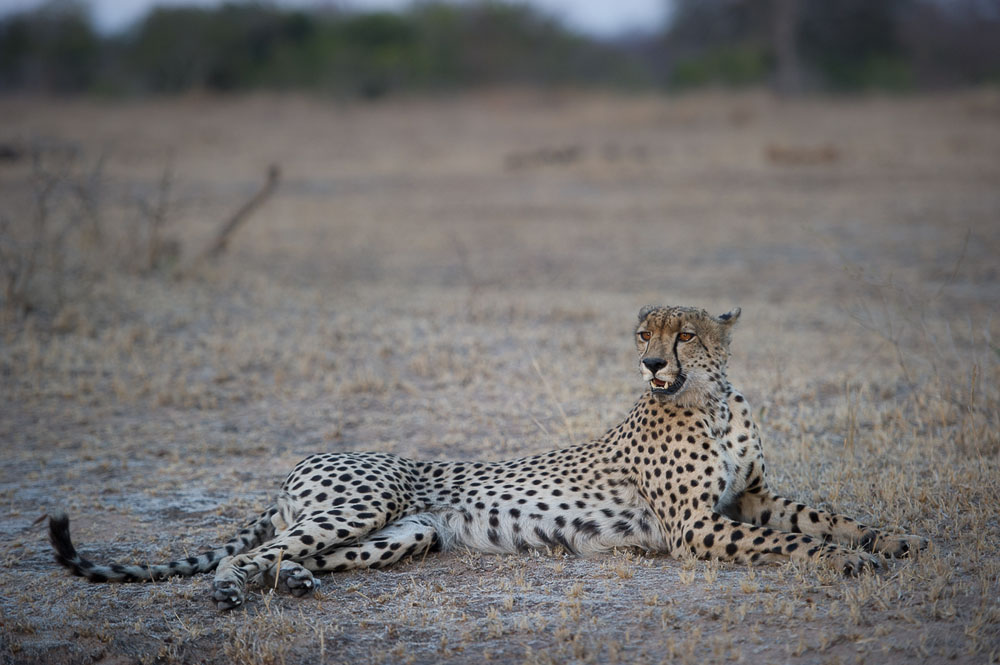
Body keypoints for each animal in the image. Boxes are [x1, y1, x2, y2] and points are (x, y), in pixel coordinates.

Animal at [49, 304, 926, 610]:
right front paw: (854, 563)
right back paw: (234, 590)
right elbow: (791, 541)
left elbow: (825, 516)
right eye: (641, 333)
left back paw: (292, 582)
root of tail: (305, 460)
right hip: (363, 502)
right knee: (249, 553)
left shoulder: (748, 498)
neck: (710, 398)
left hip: (405, 533)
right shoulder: (697, 529)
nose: (650, 363)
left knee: (297, 554)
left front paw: (897, 541)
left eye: (684, 333)